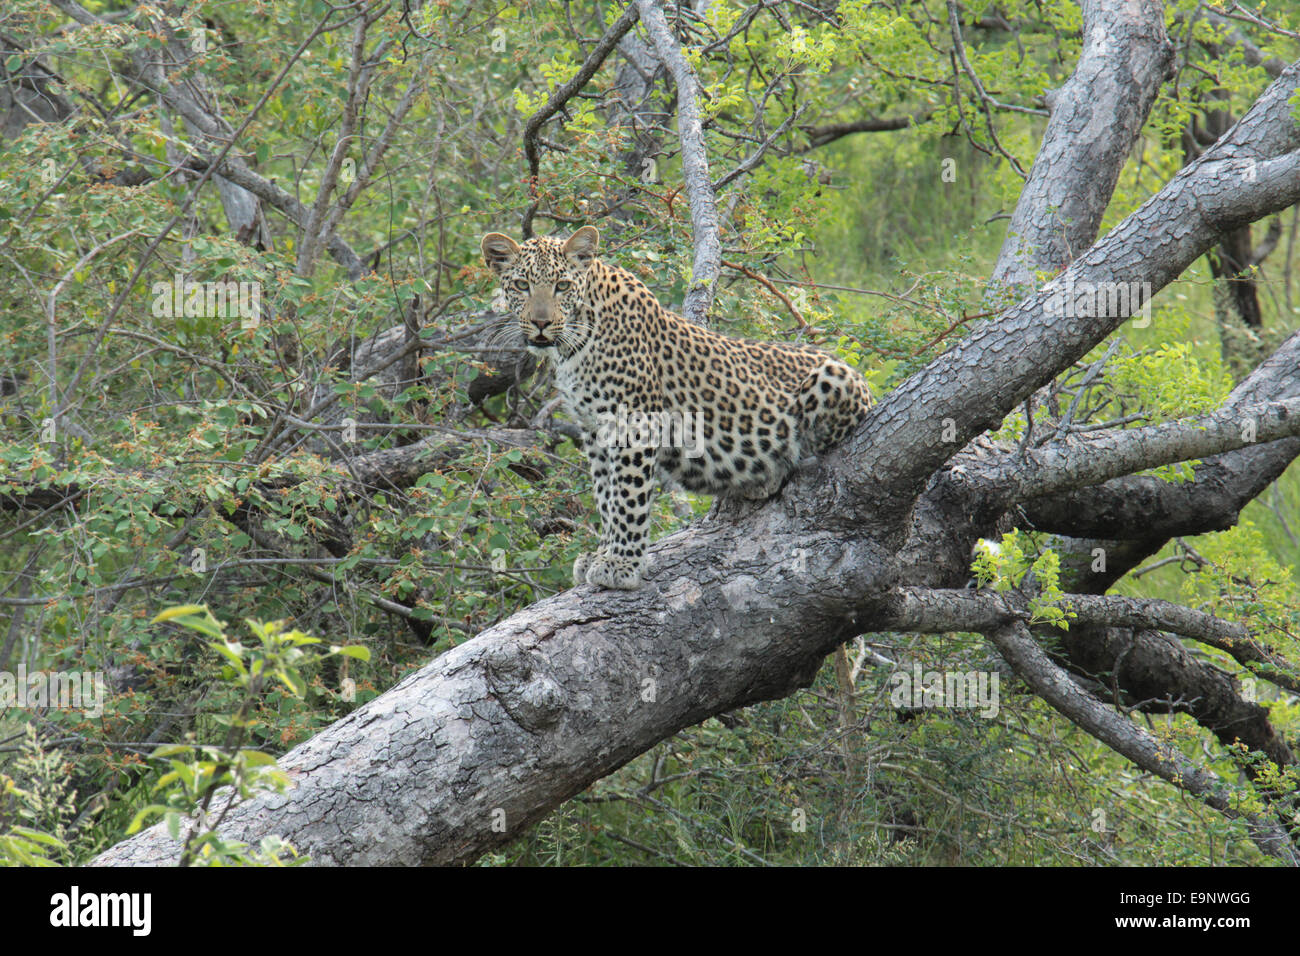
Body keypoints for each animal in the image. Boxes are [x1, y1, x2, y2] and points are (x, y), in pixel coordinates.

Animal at [481, 225, 873, 590]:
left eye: (562, 285)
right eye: (521, 285)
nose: (541, 323)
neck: (574, 343)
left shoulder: (633, 422)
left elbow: (628, 496)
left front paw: (622, 564)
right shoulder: (594, 431)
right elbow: (606, 497)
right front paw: (603, 552)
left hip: (833, 377)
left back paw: (769, 474)